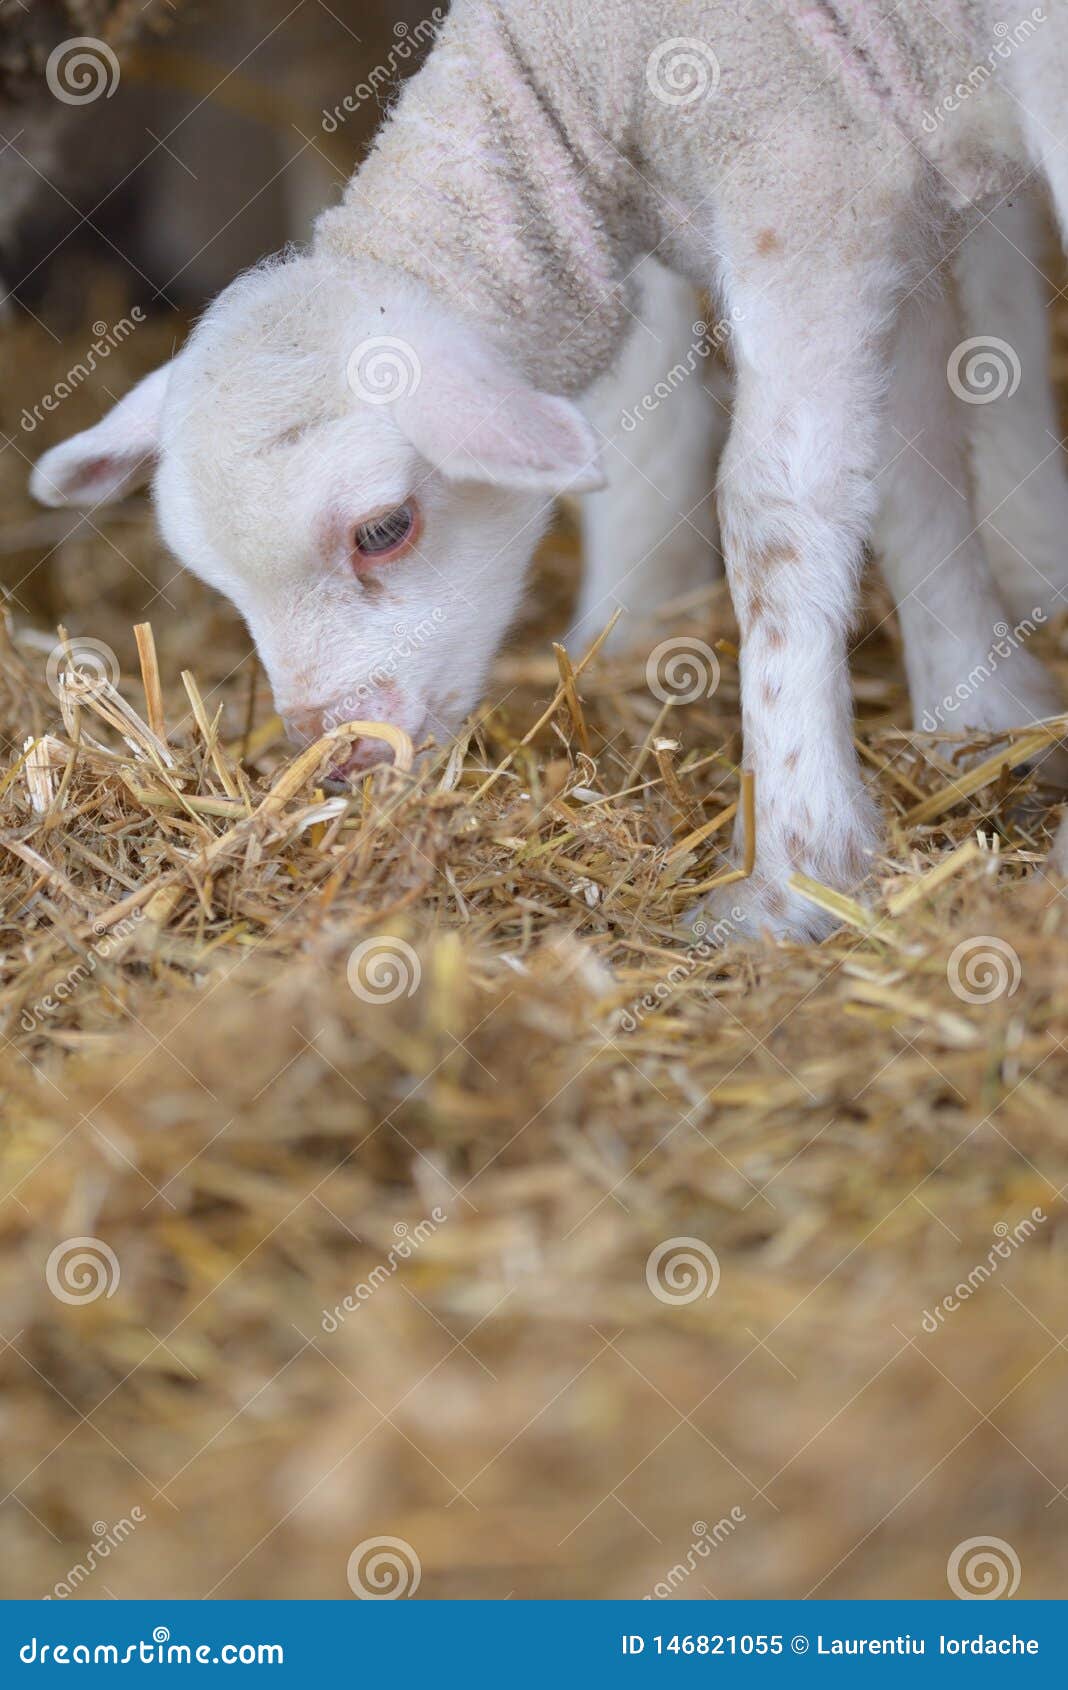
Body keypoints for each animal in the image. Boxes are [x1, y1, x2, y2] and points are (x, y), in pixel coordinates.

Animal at [30, 0, 1068, 940]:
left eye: (384, 529)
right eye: (219, 583)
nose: (341, 760)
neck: (589, 59)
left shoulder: (807, 179)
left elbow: (777, 512)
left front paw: (795, 877)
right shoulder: (886, 185)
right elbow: (913, 467)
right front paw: (981, 716)